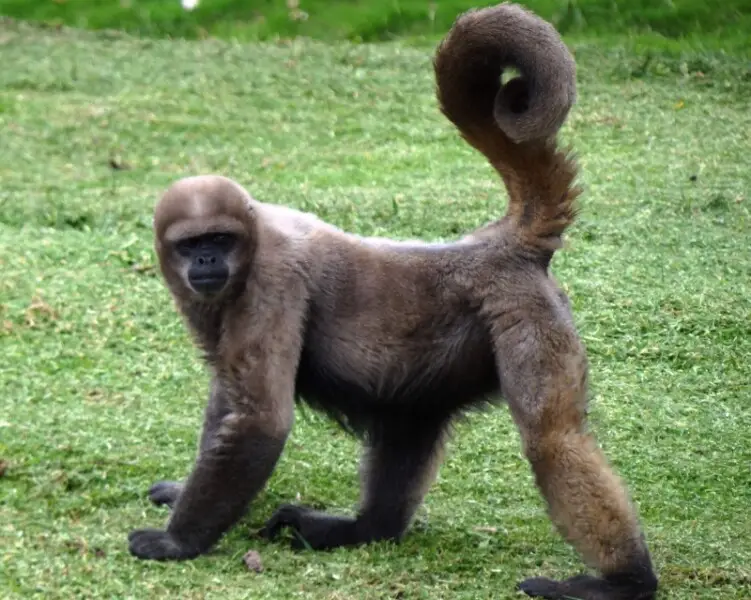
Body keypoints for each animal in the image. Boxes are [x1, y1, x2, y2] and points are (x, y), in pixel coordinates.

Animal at [127, 3, 659, 599]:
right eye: (190, 244)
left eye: (219, 239)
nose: (205, 262)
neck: (255, 237)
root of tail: (495, 243)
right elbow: (228, 400)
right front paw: (182, 494)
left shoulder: (270, 283)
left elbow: (260, 418)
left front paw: (178, 542)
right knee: (410, 421)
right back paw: (363, 529)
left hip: (524, 311)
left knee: (554, 441)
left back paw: (625, 580)